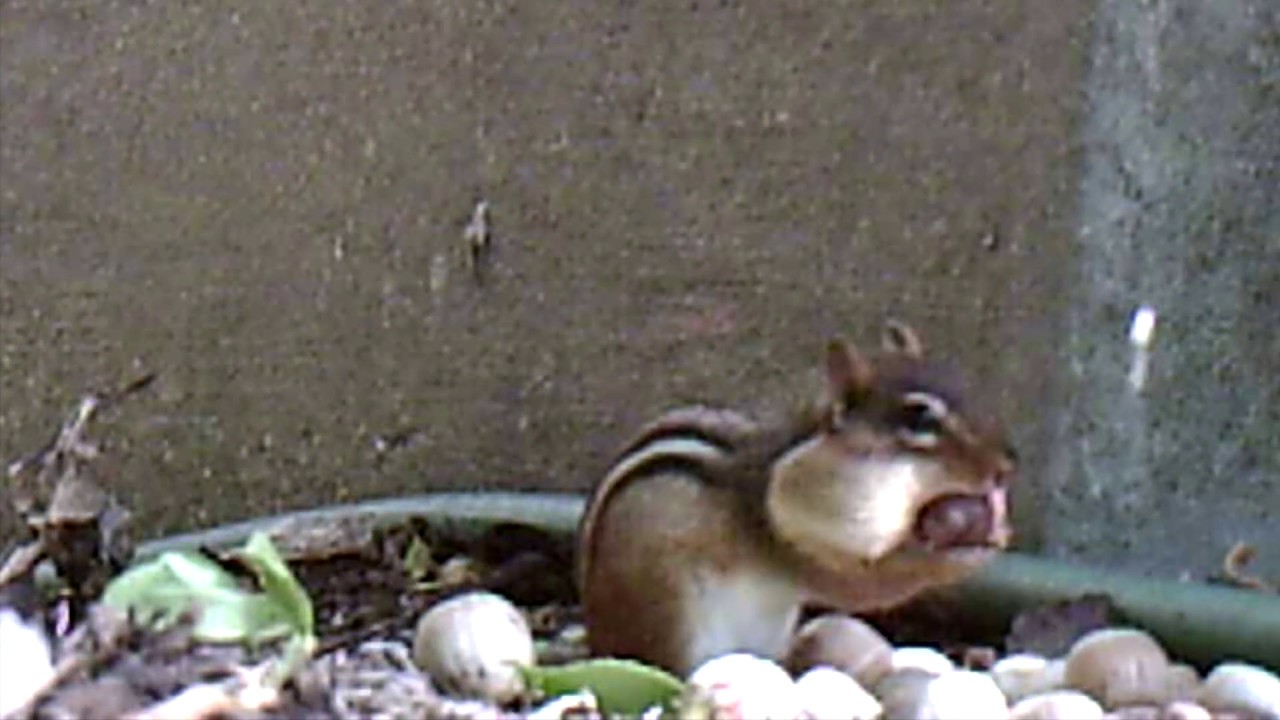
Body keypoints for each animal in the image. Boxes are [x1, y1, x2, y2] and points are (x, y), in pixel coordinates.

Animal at [576, 321, 1017, 676]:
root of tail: (598, 644)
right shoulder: (805, 538)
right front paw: (952, 556)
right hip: (670, 621)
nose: (1006, 465)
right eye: (920, 418)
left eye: (968, 387)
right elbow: (869, 584)